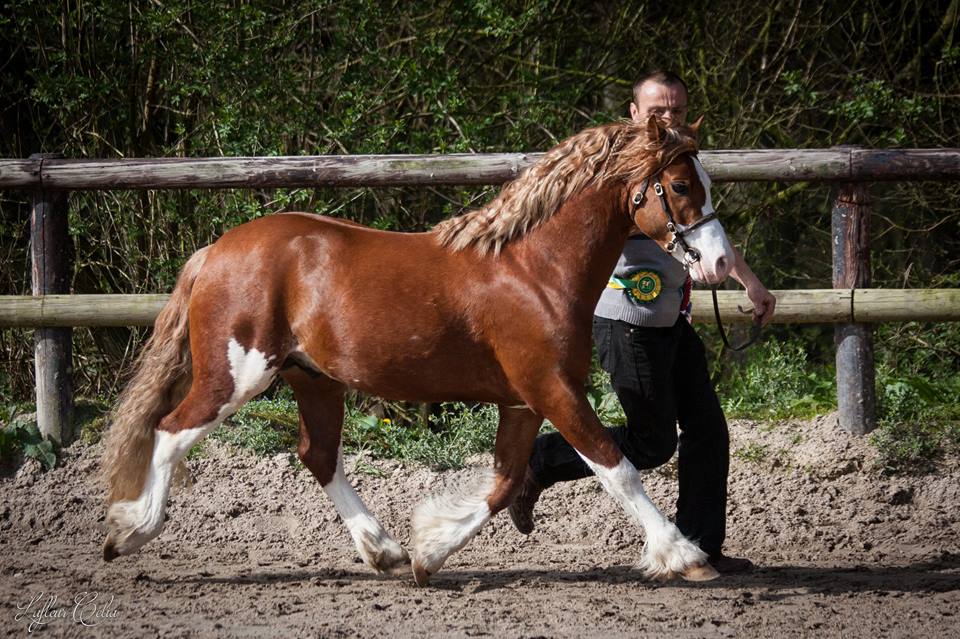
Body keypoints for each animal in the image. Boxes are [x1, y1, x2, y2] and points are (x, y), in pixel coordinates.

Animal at [100, 114, 734, 585]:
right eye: (680, 185)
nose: (720, 262)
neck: (535, 270)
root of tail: (215, 251)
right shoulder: (553, 388)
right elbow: (615, 466)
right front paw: (684, 555)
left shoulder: (523, 400)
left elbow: (505, 483)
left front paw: (429, 555)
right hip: (237, 374)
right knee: (170, 430)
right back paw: (129, 533)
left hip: (313, 379)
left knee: (317, 455)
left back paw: (385, 552)